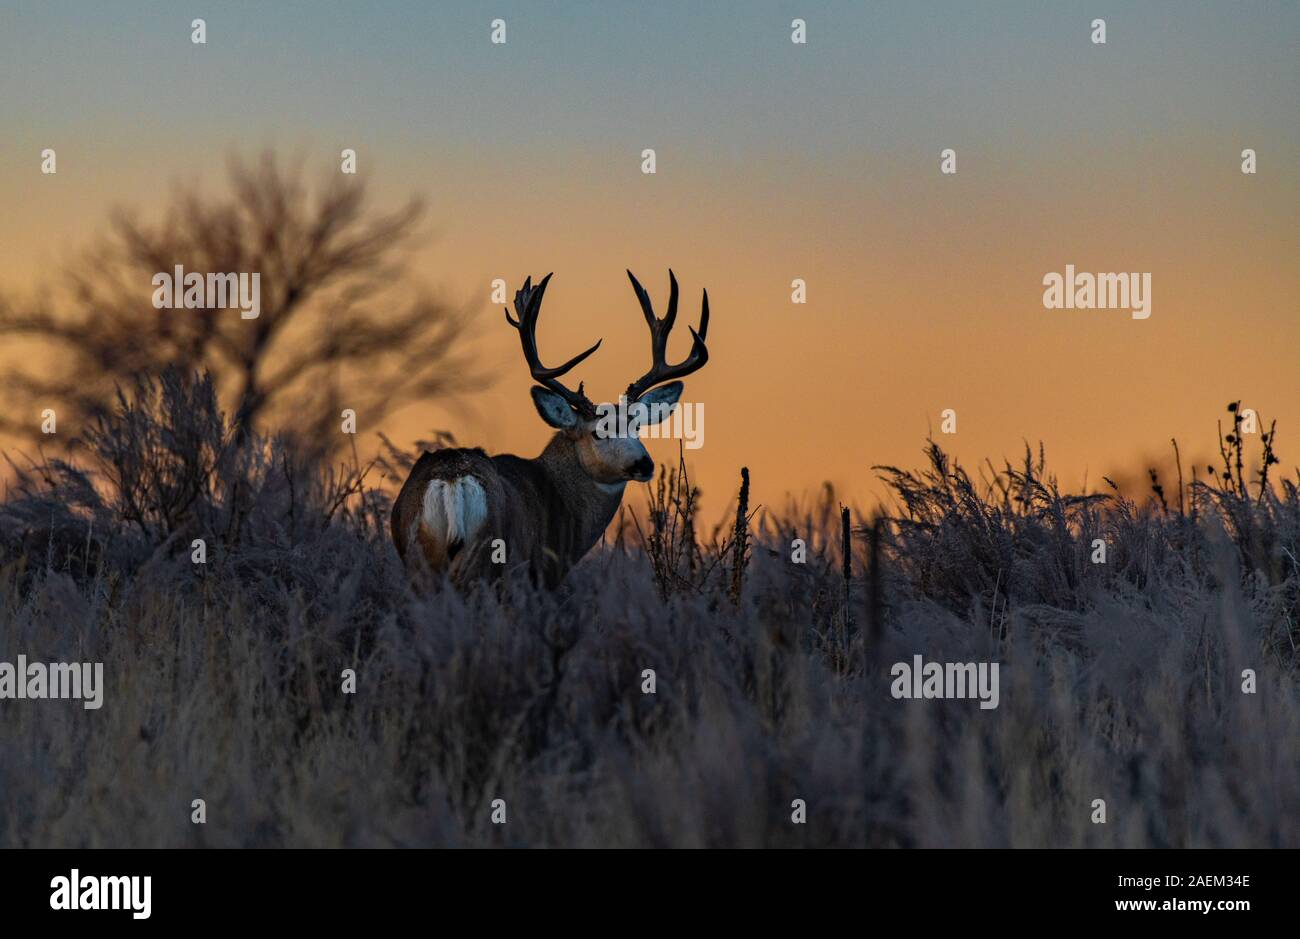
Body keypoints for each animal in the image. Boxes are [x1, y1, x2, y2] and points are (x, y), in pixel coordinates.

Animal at [391, 270, 711, 588]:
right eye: (598, 431)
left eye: (638, 427)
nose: (644, 463)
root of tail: (453, 479)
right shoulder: (546, 572)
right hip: (491, 562)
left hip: (419, 561)